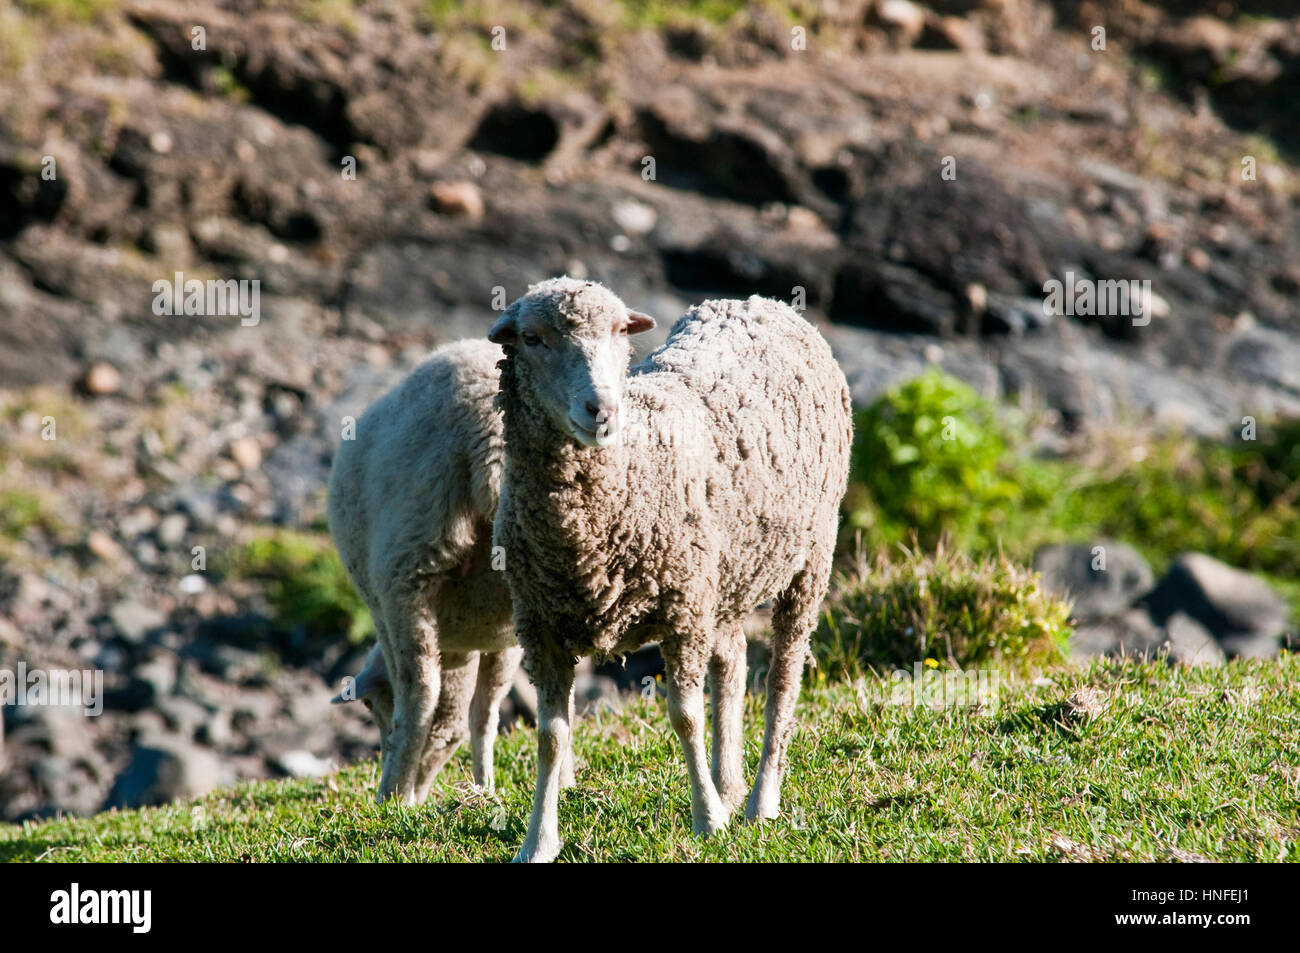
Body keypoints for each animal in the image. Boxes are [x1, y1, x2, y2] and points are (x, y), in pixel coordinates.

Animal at [326, 338, 573, 804]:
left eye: (370, 705)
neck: (461, 647)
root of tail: (488, 427)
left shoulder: (385, 613)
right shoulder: (499, 639)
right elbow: (482, 712)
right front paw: (484, 786)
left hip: (409, 567)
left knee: (420, 692)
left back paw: (391, 798)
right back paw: (561, 783)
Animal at [489, 277, 853, 862]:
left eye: (620, 333)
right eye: (532, 338)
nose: (601, 409)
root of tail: (762, 303)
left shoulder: (682, 608)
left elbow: (684, 716)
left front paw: (708, 820)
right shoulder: (541, 627)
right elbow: (551, 737)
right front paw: (538, 841)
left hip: (812, 553)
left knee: (783, 675)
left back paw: (759, 800)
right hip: (725, 575)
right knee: (733, 660)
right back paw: (729, 784)